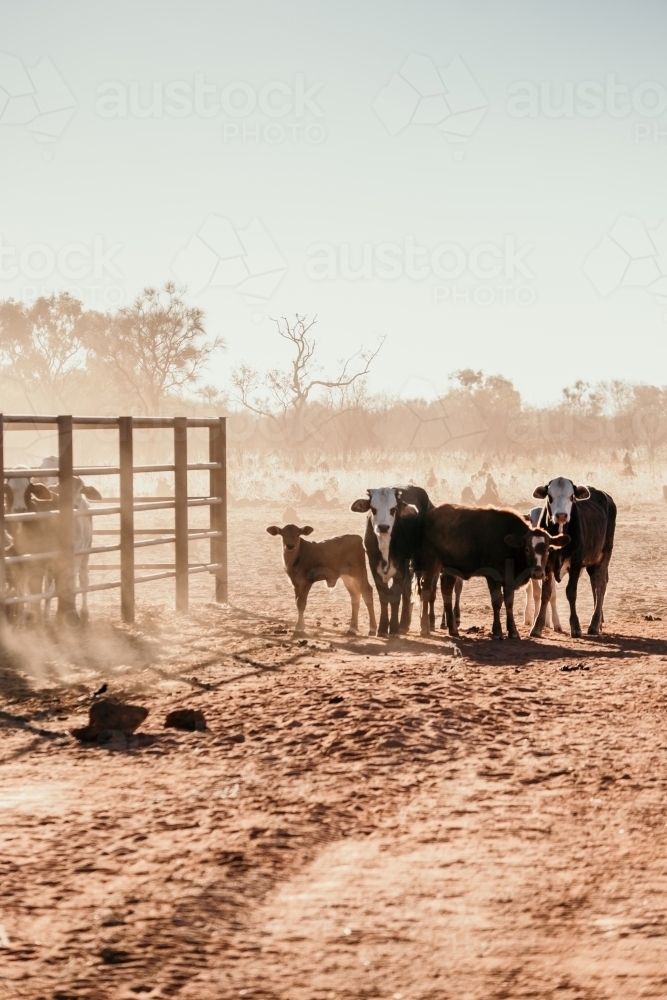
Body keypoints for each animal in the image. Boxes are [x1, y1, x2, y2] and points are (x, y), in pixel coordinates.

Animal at [350, 485, 431, 637]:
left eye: (393, 509)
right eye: (373, 508)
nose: (383, 527)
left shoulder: (401, 568)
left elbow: (395, 597)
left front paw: (393, 629)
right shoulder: (373, 566)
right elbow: (383, 595)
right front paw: (382, 628)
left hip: (418, 561)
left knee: (418, 589)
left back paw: (416, 626)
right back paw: (403, 624)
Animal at [417, 504, 570, 640]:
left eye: (548, 550)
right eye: (527, 549)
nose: (538, 573)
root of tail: (432, 513)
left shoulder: (509, 579)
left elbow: (509, 602)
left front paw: (513, 632)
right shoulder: (493, 576)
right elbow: (497, 601)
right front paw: (497, 631)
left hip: (449, 568)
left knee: (447, 592)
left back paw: (453, 629)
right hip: (431, 563)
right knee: (426, 590)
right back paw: (425, 627)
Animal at [530, 478, 616, 638]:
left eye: (572, 497)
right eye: (550, 496)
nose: (561, 515)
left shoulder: (576, 563)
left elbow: (571, 592)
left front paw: (575, 626)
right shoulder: (546, 566)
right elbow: (546, 594)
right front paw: (537, 626)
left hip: (605, 554)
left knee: (601, 585)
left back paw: (594, 624)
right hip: (592, 562)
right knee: (595, 583)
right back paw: (599, 622)